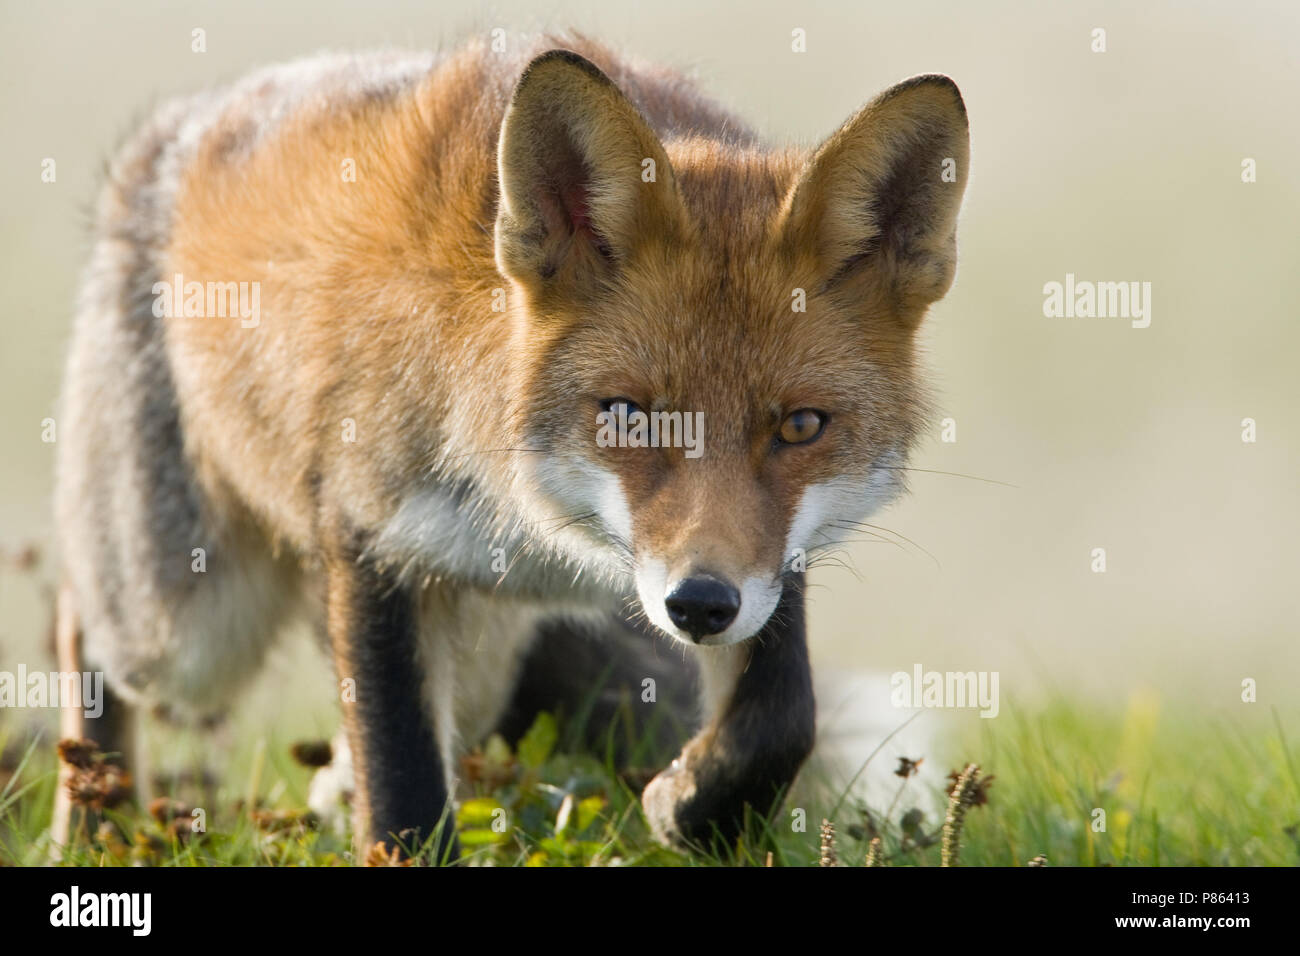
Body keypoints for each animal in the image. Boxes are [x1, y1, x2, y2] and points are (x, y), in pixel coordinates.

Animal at [50, 33, 969, 860]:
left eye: (801, 427)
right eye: (628, 416)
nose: (699, 607)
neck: (542, 524)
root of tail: (174, 125)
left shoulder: (769, 559)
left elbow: (783, 716)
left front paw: (699, 806)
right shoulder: (369, 536)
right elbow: (405, 792)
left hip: (480, 657)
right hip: (187, 626)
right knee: (79, 613)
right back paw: (95, 821)